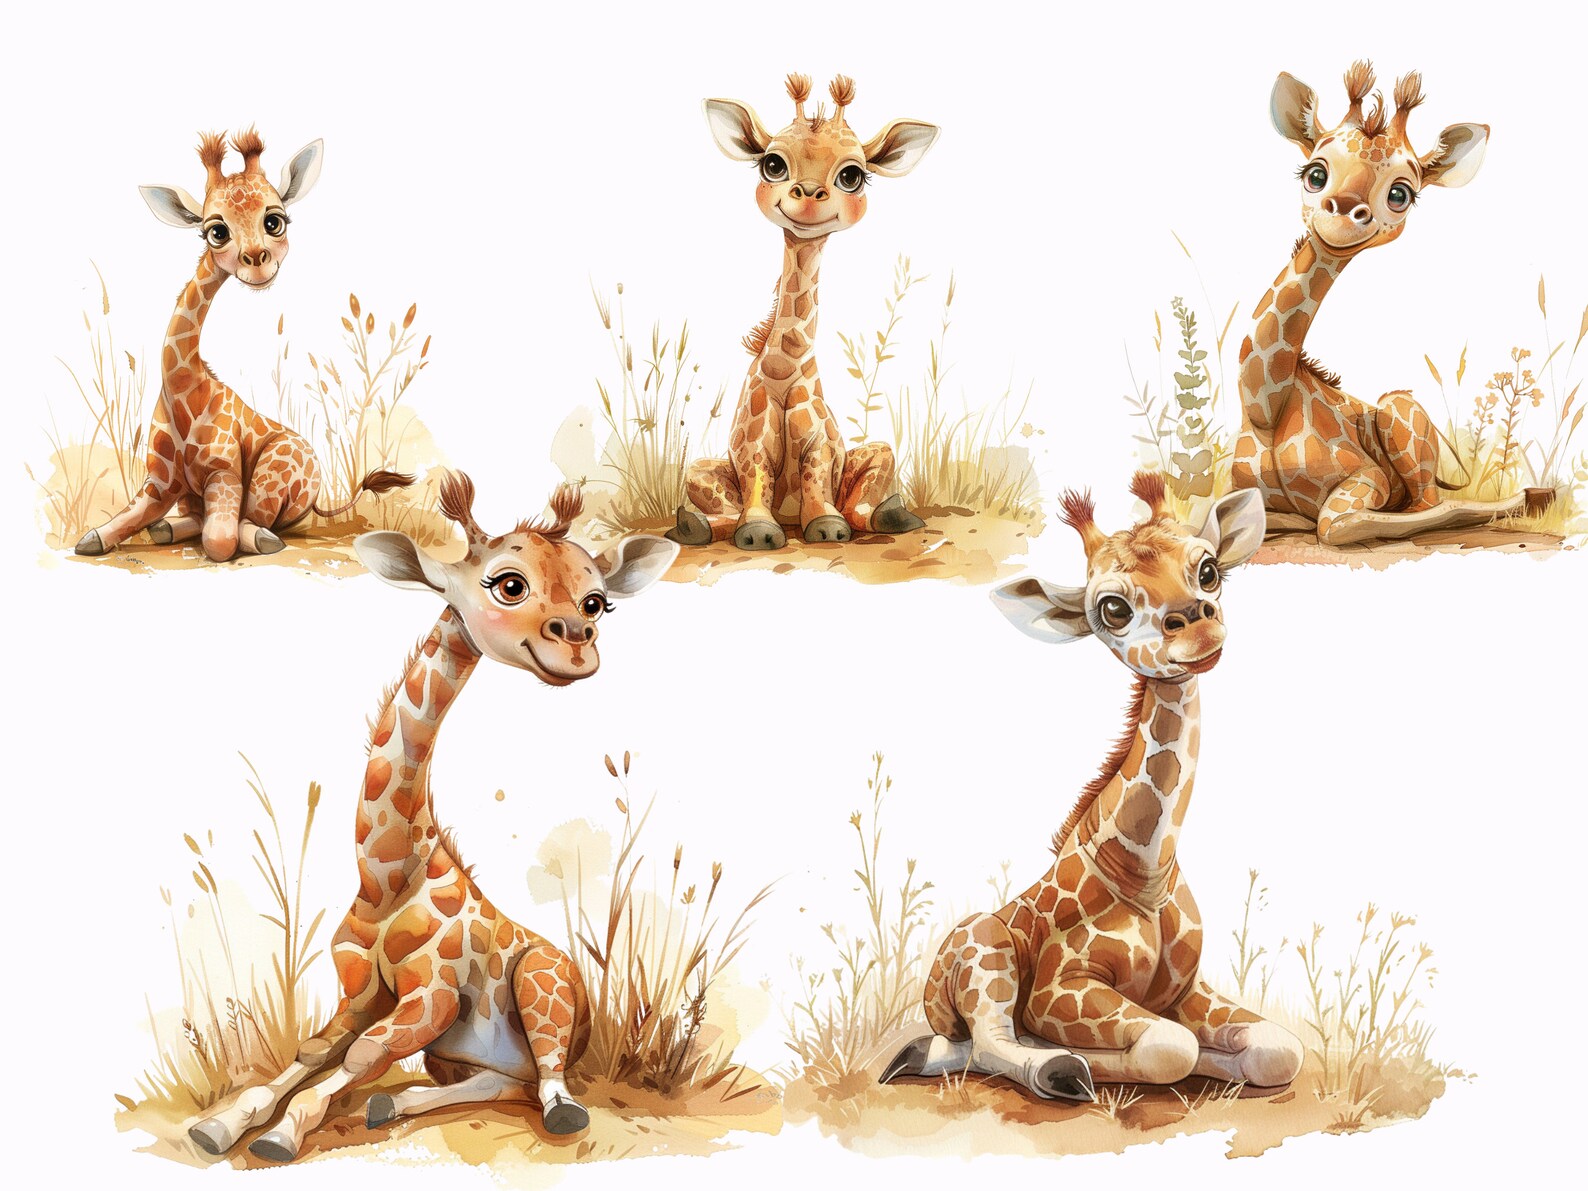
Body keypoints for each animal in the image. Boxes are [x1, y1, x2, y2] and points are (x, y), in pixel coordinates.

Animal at [74, 129, 412, 563]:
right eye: (215, 231)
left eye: (274, 221)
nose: (257, 262)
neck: (184, 389)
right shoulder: (159, 482)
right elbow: (114, 526)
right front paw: (91, 539)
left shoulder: (225, 473)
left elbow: (220, 542)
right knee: (183, 523)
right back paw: (170, 528)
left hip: (269, 476)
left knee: (256, 524)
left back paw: (261, 537)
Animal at [185, 473, 678, 1161]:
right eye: (508, 583)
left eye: (597, 602)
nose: (578, 648)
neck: (387, 879)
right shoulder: (361, 993)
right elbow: (309, 1055)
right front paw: (220, 1125)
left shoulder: (432, 997)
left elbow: (350, 1062)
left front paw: (280, 1135)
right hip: (459, 1057)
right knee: (501, 1083)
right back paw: (391, 1105)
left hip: (542, 980)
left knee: (548, 1081)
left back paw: (559, 1113)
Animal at [666, 74, 938, 551]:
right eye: (772, 164)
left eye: (852, 175)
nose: (809, 195)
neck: (783, 368)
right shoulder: (751, 448)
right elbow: (755, 487)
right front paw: (759, 531)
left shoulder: (821, 447)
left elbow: (821, 492)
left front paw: (827, 527)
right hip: (701, 467)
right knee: (714, 505)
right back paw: (691, 524)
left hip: (876, 453)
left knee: (864, 504)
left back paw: (895, 515)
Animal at [882, 474, 1303, 1101]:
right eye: (1112, 608)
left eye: (1208, 570)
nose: (1198, 622)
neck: (1145, 871)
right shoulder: (1059, 989)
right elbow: (1168, 1048)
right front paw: (1071, 1057)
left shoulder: (1183, 990)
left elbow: (1277, 1050)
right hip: (986, 949)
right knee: (983, 1041)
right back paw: (1050, 1064)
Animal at [1233, 60, 1525, 546]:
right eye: (1314, 173)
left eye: (1400, 194)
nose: (1344, 212)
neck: (1264, 408)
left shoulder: (1368, 480)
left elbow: (1338, 525)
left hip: (1399, 411)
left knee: (1431, 501)